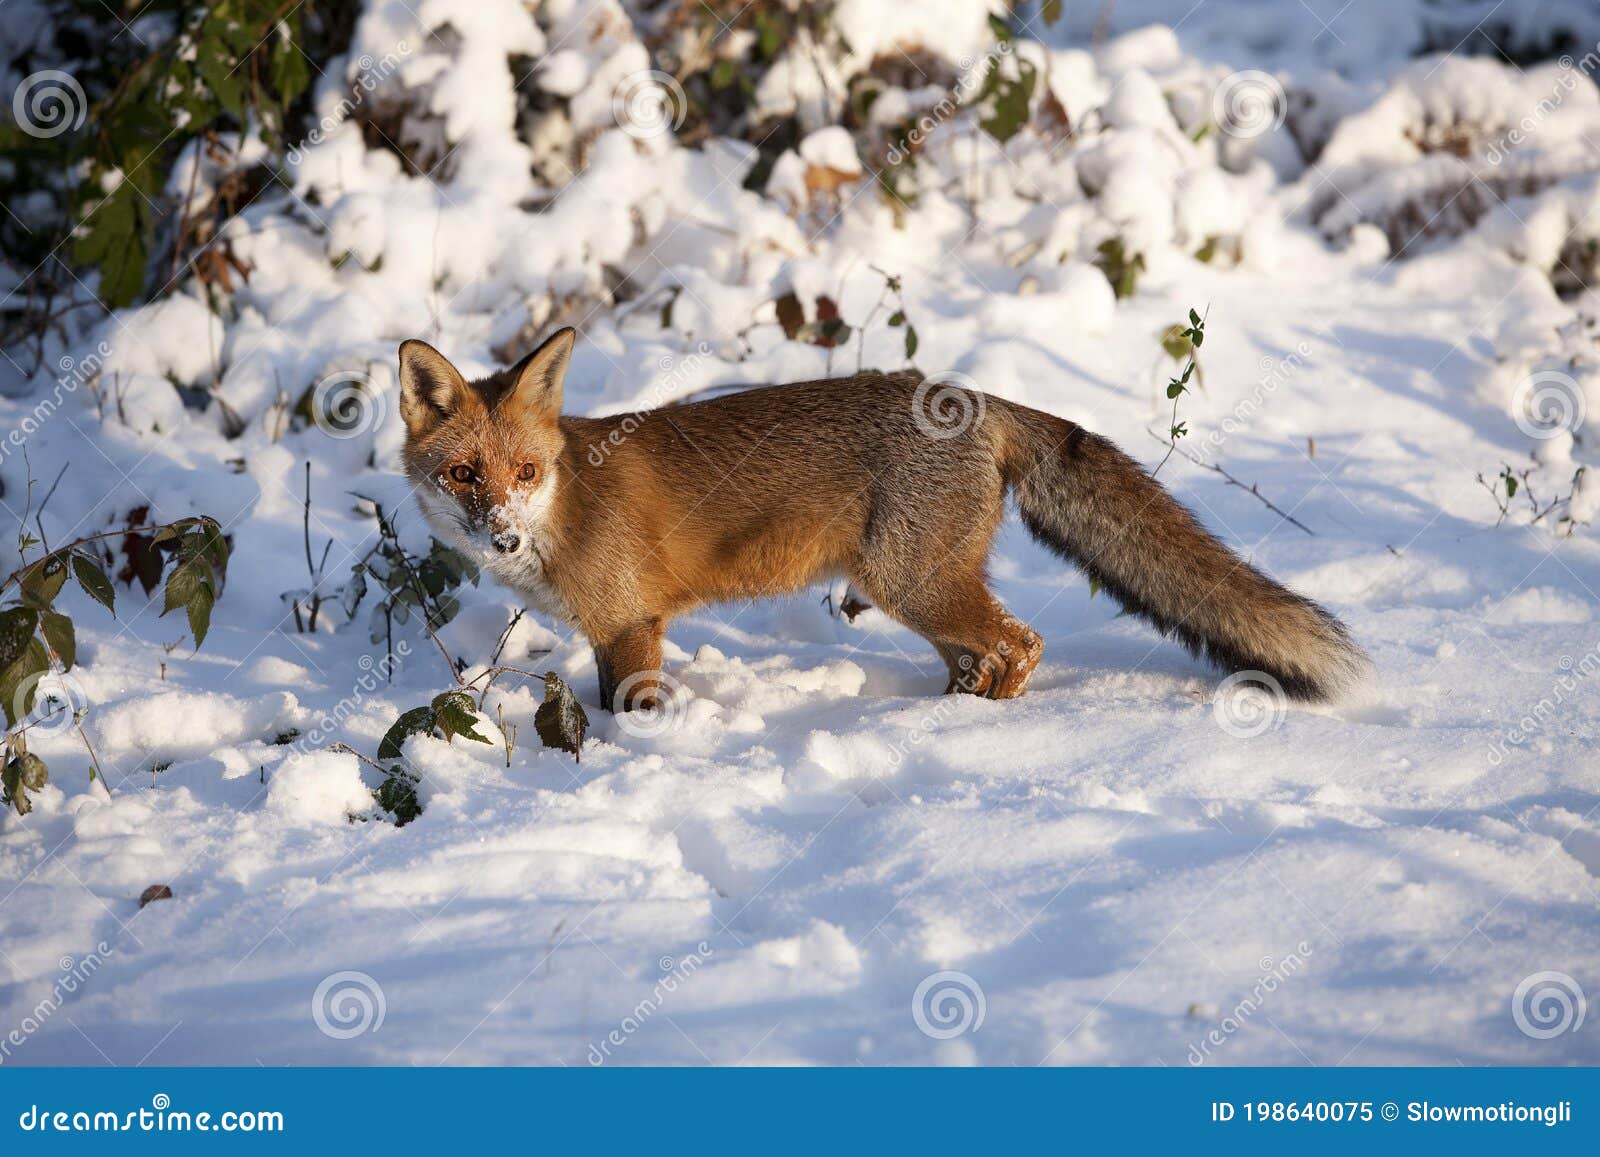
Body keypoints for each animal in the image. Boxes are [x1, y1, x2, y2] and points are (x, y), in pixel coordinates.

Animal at [397, 327, 1367, 712]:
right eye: (464, 474)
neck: (565, 507)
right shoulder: (610, 631)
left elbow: (625, 716)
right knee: (984, 652)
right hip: (916, 589)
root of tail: (973, 397)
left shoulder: (633, 625)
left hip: (908, 582)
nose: (502, 534)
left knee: (1023, 644)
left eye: (525, 472)